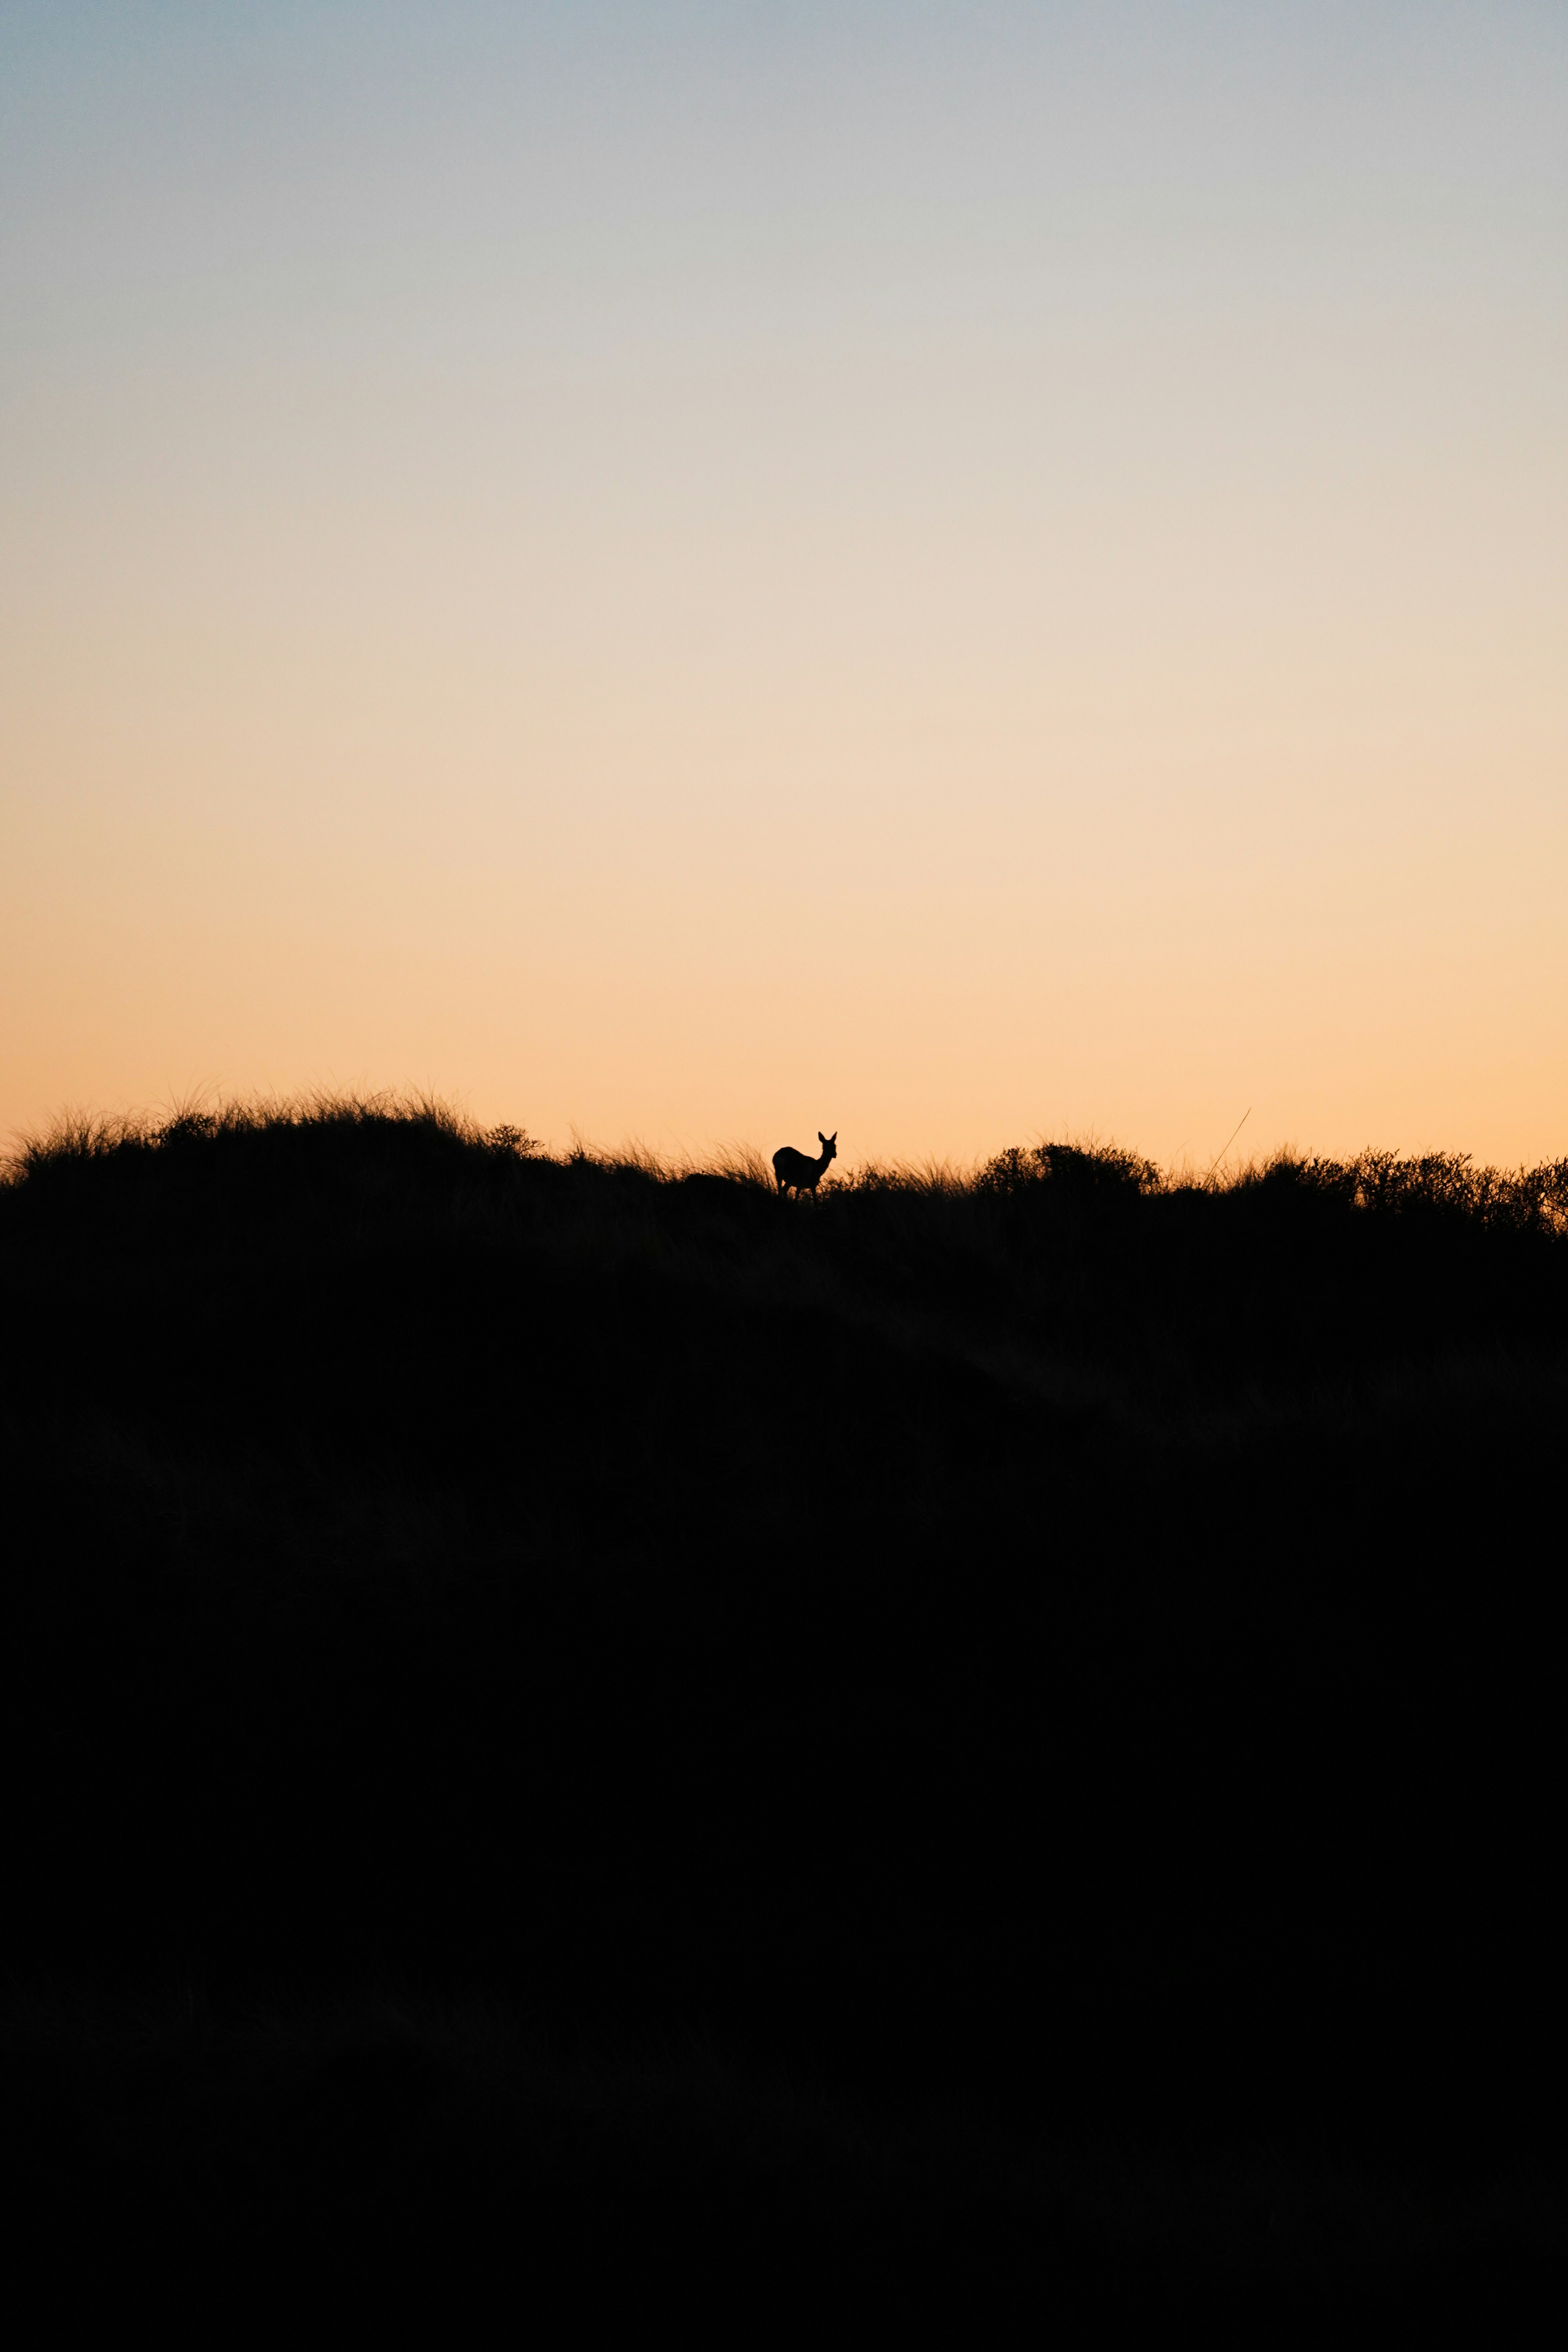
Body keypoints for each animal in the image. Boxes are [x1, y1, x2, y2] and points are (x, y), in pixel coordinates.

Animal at [772, 1130, 837, 1197]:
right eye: (826, 1147)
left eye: (835, 1145)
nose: (835, 1155)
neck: (818, 1167)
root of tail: (778, 1157)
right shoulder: (809, 1184)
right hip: (791, 1176)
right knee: (784, 1190)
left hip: (779, 1175)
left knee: (780, 1190)